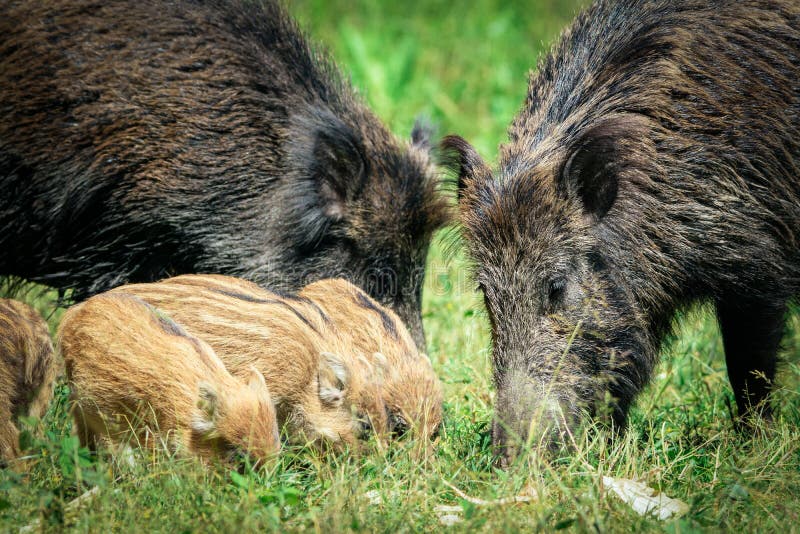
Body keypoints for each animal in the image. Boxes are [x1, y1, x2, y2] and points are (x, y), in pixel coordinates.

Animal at [443, 0, 800, 462]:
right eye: (486, 293)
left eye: (556, 286)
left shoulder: (759, 269)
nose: (511, 458)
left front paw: (753, 448)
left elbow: (749, 370)